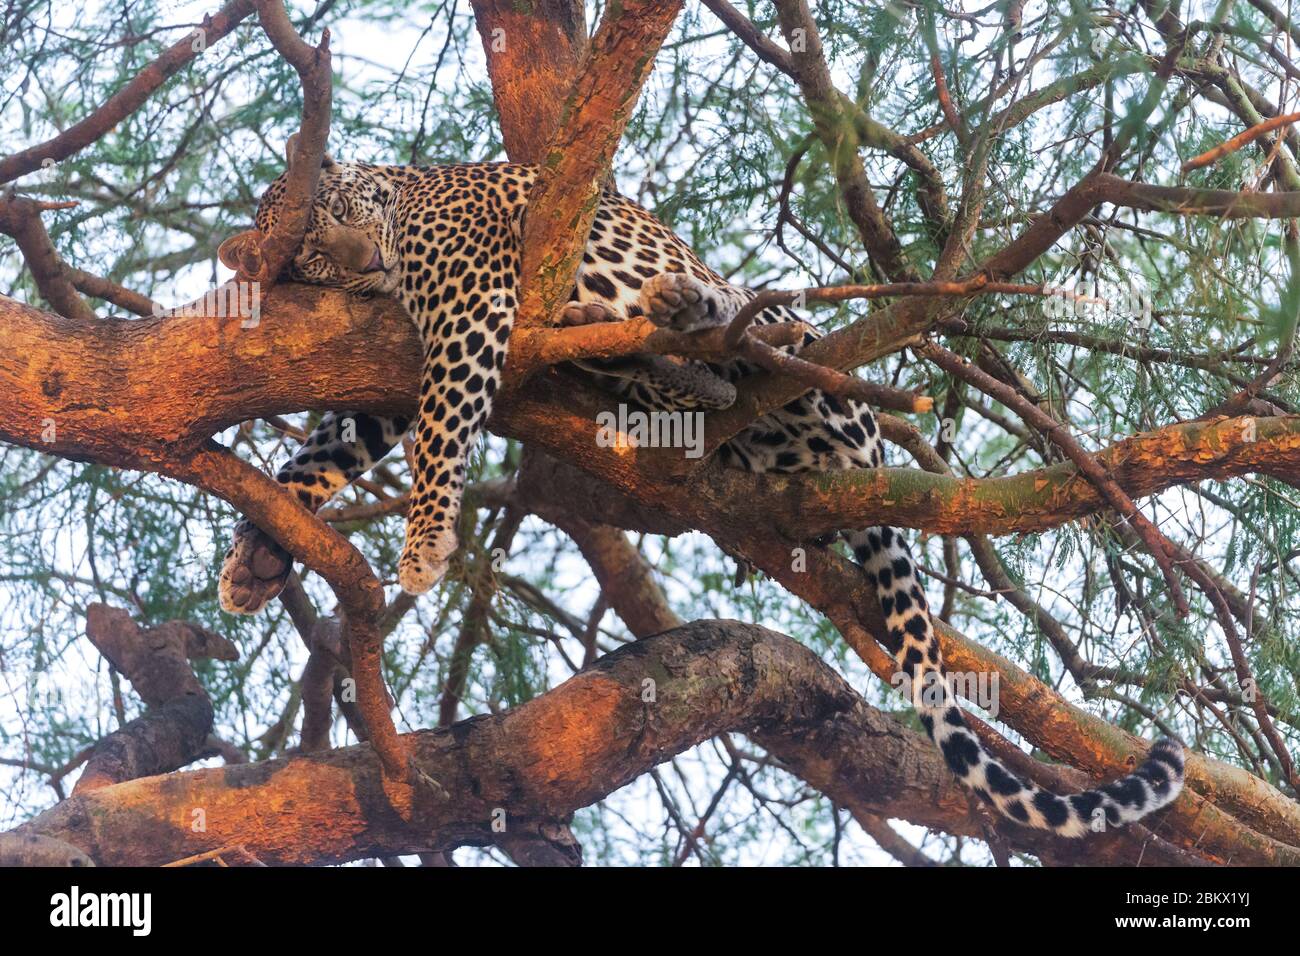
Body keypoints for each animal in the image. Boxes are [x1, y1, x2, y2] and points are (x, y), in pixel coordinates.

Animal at [215, 139, 1186, 839]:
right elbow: (330, 445)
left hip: (800, 361)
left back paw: (702, 316)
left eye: (345, 215)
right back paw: (632, 346)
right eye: (314, 256)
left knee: (754, 335)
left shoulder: (468, 306)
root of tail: (871, 453)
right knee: (694, 384)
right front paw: (258, 560)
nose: (362, 258)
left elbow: (444, 426)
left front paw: (422, 546)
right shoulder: (390, 364)